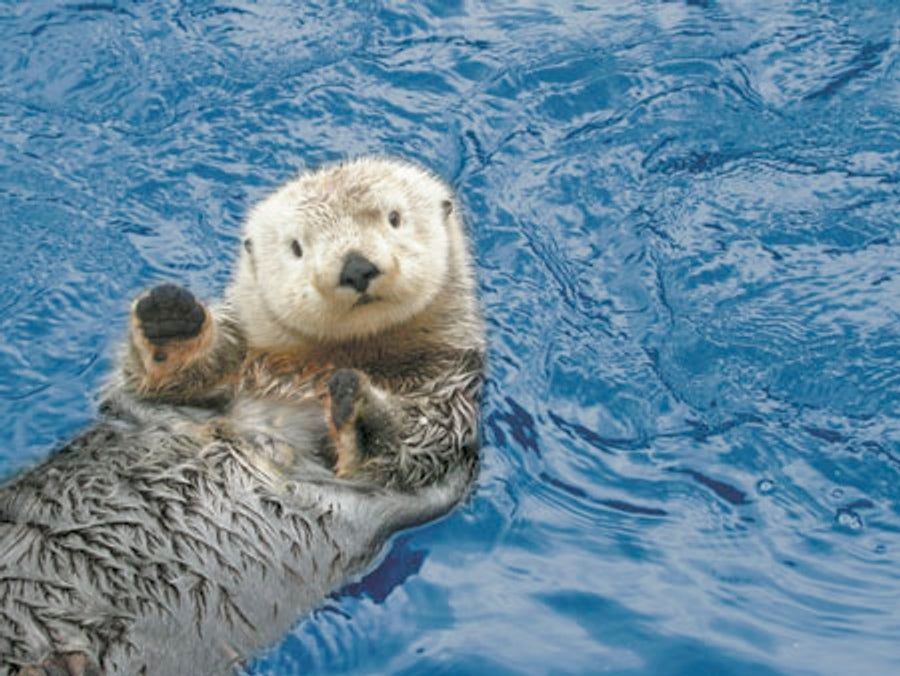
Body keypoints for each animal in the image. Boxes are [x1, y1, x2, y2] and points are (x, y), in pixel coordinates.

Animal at [1, 157, 484, 674]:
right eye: (297, 247)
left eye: (393, 217)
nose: (356, 266)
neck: (315, 368)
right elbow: (152, 385)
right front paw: (169, 317)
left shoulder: (448, 402)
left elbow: (409, 448)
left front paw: (359, 403)